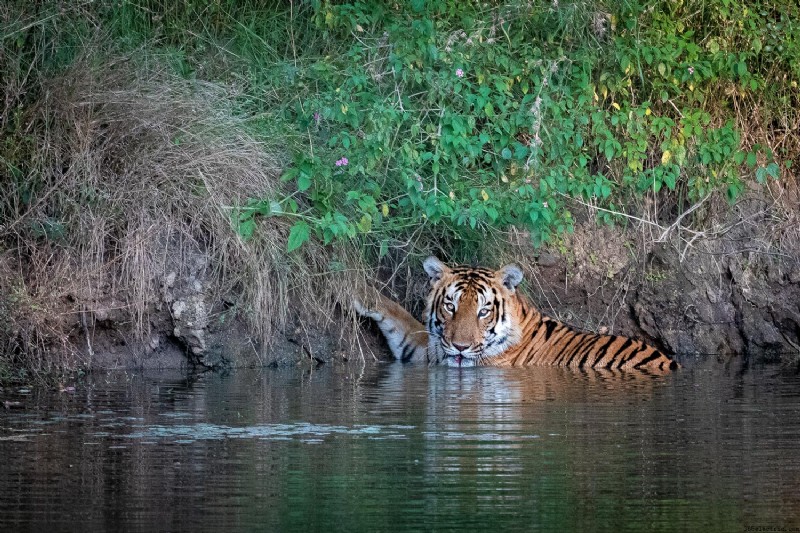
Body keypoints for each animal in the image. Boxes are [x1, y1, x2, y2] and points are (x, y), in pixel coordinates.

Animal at [354, 256, 680, 372]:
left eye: (483, 311)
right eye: (450, 306)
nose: (460, 347)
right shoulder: (430, 349)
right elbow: (399, 318)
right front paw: (356, 291)